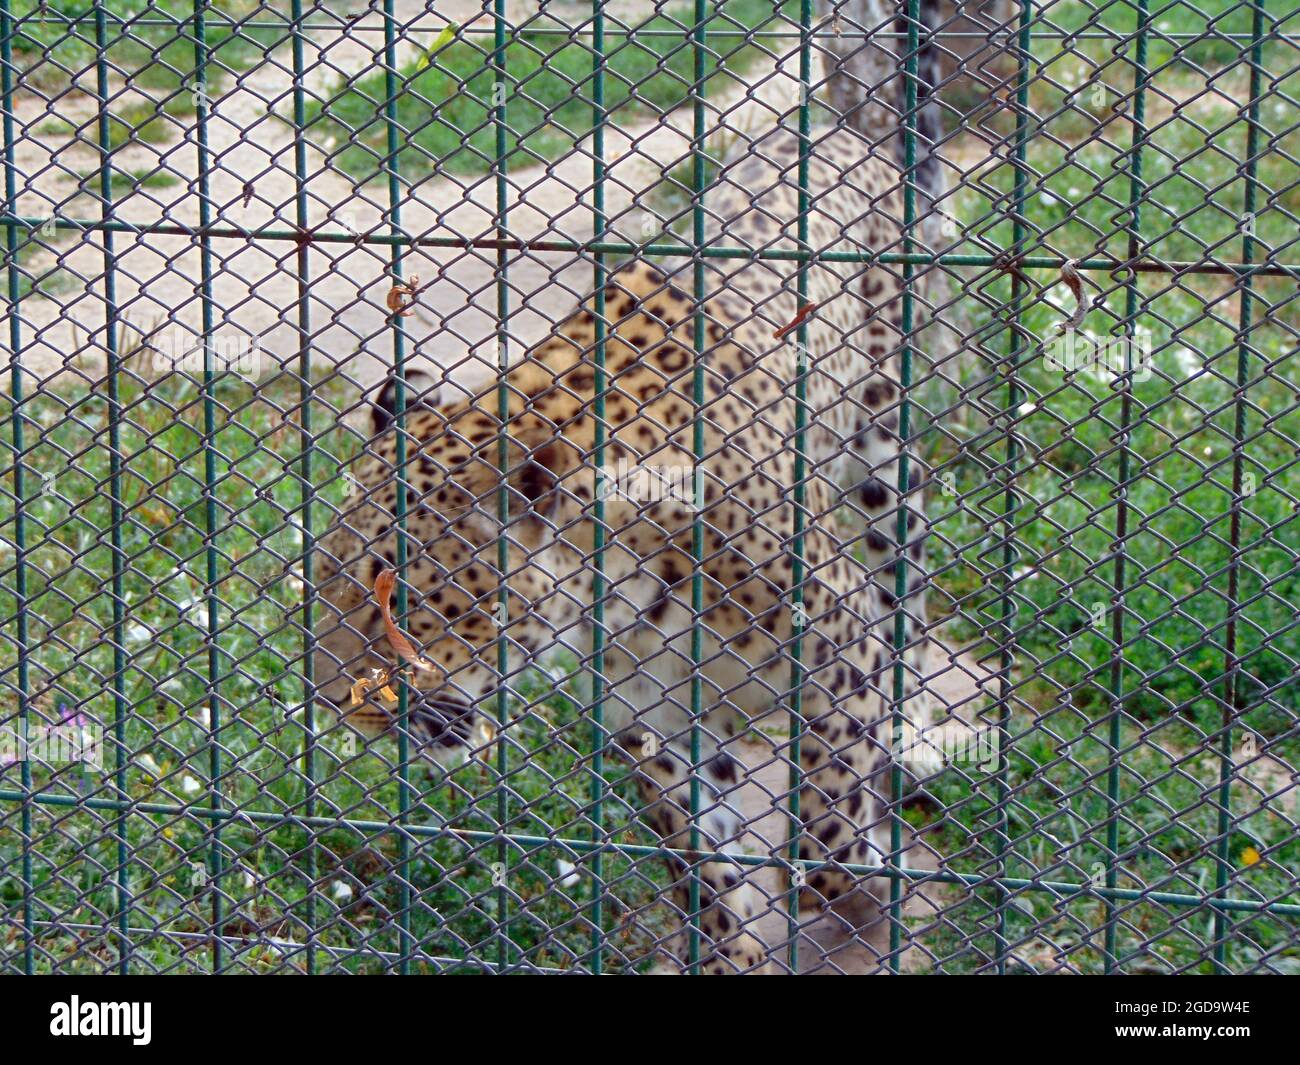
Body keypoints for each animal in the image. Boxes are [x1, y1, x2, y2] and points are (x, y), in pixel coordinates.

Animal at [312, 124, 930, 973]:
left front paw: (866, 879)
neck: (622, 586)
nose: (329, 700)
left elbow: (828, 823)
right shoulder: (653, 718)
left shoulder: (841, 634)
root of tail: (836, 130)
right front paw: (730, 955)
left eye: (398, 598)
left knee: (911, 599)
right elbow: (699, 860)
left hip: (886, 461)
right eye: (318, 582)